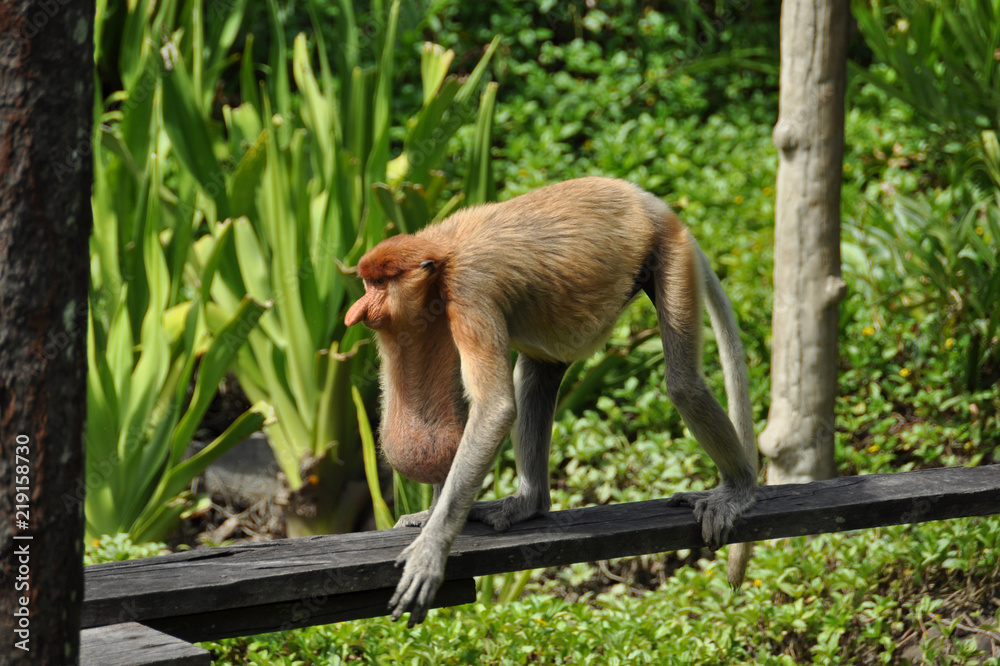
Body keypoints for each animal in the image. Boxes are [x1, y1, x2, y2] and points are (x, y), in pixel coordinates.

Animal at [345, 176, 758, 626]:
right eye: (367, 282)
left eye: (379, 284)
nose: (356, 311)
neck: (441, 258)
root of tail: (650, 203)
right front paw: (427, 515)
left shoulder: (469, 295)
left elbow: (495, 408)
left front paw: (430, 551)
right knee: (537, 375)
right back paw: (529, 504)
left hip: (671, 253)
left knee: (684, 386)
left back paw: (739, 488)